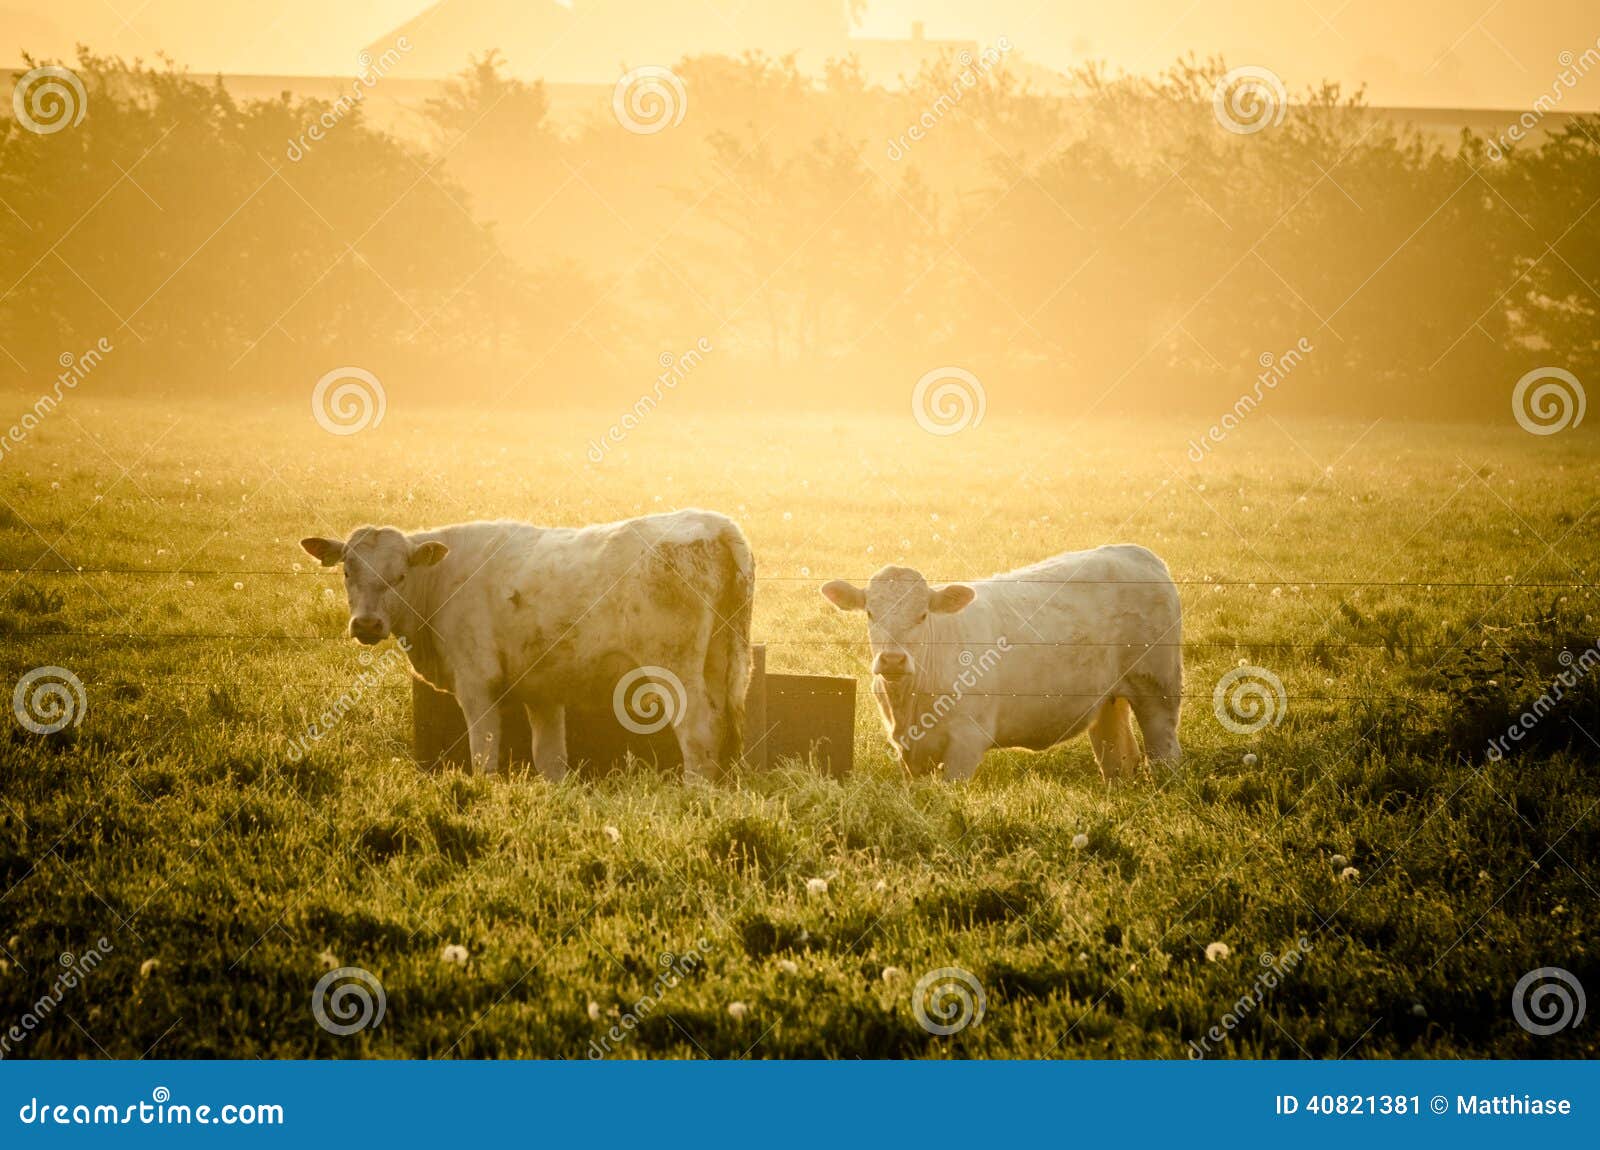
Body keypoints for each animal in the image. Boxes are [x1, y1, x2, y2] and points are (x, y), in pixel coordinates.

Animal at [300, 509, 753, 781]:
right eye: (346, 571)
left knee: (697, 729)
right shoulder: (544, 691)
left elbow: (484, 754)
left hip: (674, 669)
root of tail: (713, 522)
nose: (367, 624)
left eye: (399, 576)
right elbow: (550, 757)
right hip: (721, 662)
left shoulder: (476, 685)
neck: (440, 584)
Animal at [819, 545, 1181, 783]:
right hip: (1108, 701)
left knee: (1165, 753)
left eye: (923, 615)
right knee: (1119, 760)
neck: (909, 702)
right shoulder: (908, 751)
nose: (893, 660)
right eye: (870, 613)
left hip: (1158, 690)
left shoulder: (965, 743)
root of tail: (1136, 553)